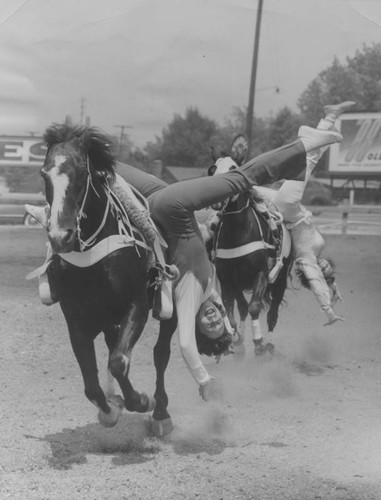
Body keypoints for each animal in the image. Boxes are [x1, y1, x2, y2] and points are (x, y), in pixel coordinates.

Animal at [37, 121, 174, 434]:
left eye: (81, 172)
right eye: (44, 173)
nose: (60, 236)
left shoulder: (137, 306)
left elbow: (118, 362)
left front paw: (141, 401)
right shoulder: (75, 319)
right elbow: (91, 381)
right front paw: (110, 409)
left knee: (161, 353)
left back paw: (161, 412)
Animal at [208, 136, 290, 356]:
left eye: (234, 168)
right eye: (212, 169)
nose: (217, 198)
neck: (238, 233)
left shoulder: (261, 274)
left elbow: (254, 308)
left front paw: (259, 343)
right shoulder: (228, 279)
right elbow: (232, 311)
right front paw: (237, 341)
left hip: (281, 276)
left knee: (273, 309)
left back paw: (269, 339)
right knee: (243, 308)